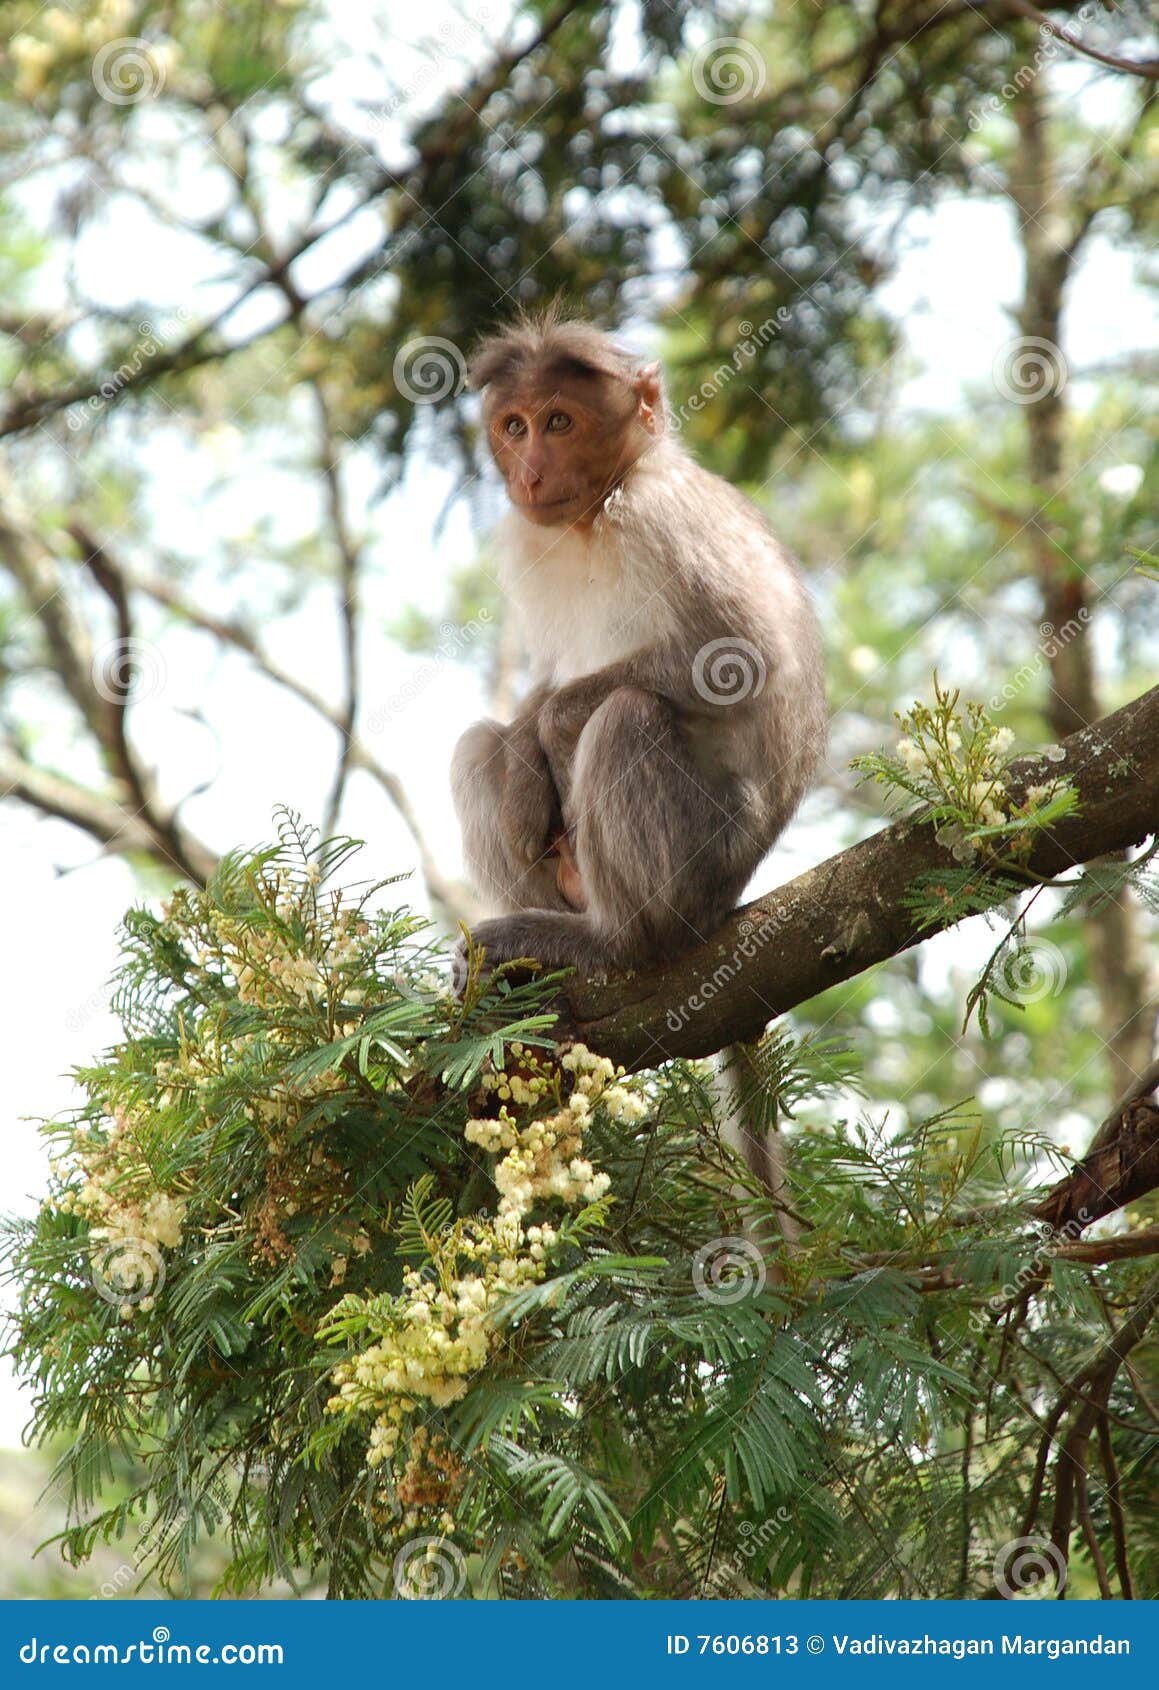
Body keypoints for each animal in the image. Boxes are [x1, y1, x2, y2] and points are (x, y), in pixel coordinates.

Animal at [450, 312, 826, 978]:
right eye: (514, 427)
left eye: (559, 422)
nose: (529, 473)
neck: (597, 513)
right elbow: (550, 676)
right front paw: (524, 761)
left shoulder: (662, 511)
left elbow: (748, 655)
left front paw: (552, 728)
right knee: (476, 745)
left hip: (707, 864)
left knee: (628, 715)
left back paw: (614, 942)